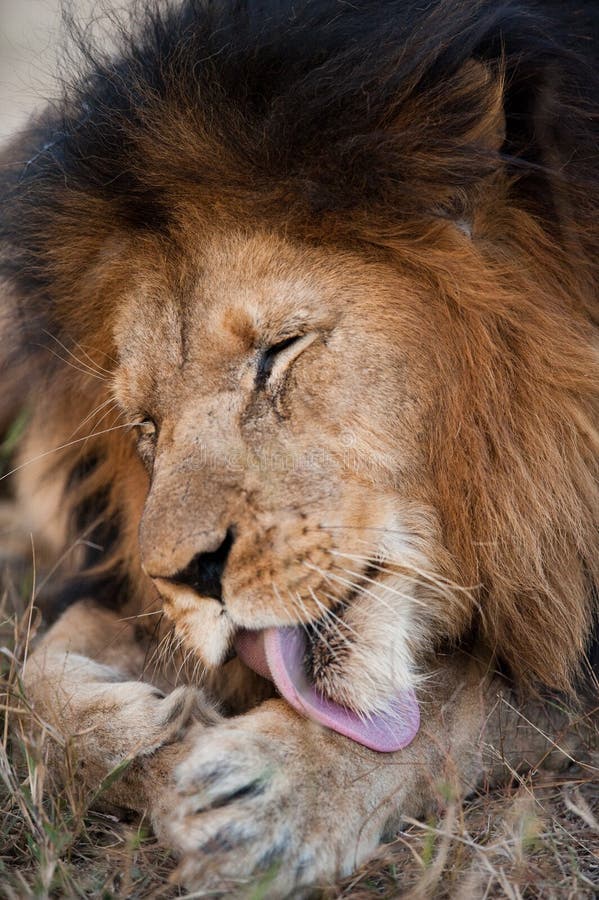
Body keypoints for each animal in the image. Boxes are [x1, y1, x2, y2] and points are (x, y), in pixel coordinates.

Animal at [1, 0, 597, 894]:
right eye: (147, 427)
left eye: (278, 353)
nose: (187, 578)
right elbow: (36, 684)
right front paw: (141, 734)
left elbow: (460, 702)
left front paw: (271, 792)